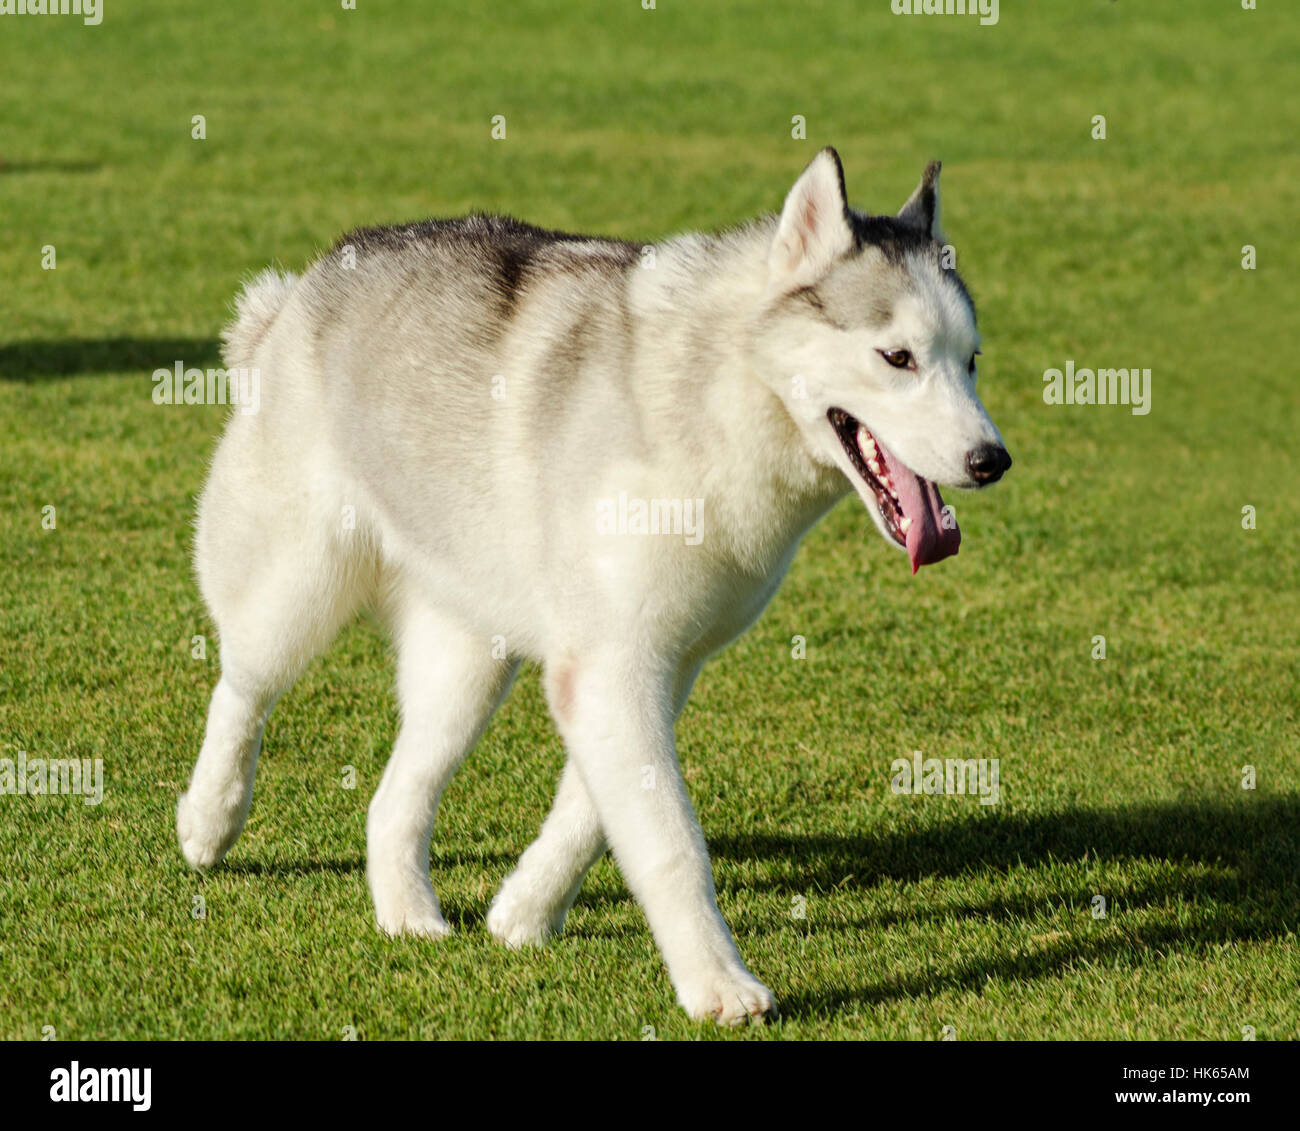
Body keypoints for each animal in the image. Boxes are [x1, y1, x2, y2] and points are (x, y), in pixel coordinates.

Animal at [176, 148, 1011, 1026]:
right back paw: (209, 819)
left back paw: (406, 912)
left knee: (395, 792)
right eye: (898, 358)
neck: (713, 399)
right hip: (292, 592)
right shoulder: (613, 666)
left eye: (971, 361)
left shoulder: (653, 667)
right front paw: (717, 983)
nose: (993, 459)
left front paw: (523, 912)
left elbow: (593, 816)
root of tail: (305, 283)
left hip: (469, 661)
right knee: (240, 689)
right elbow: (670, 840)